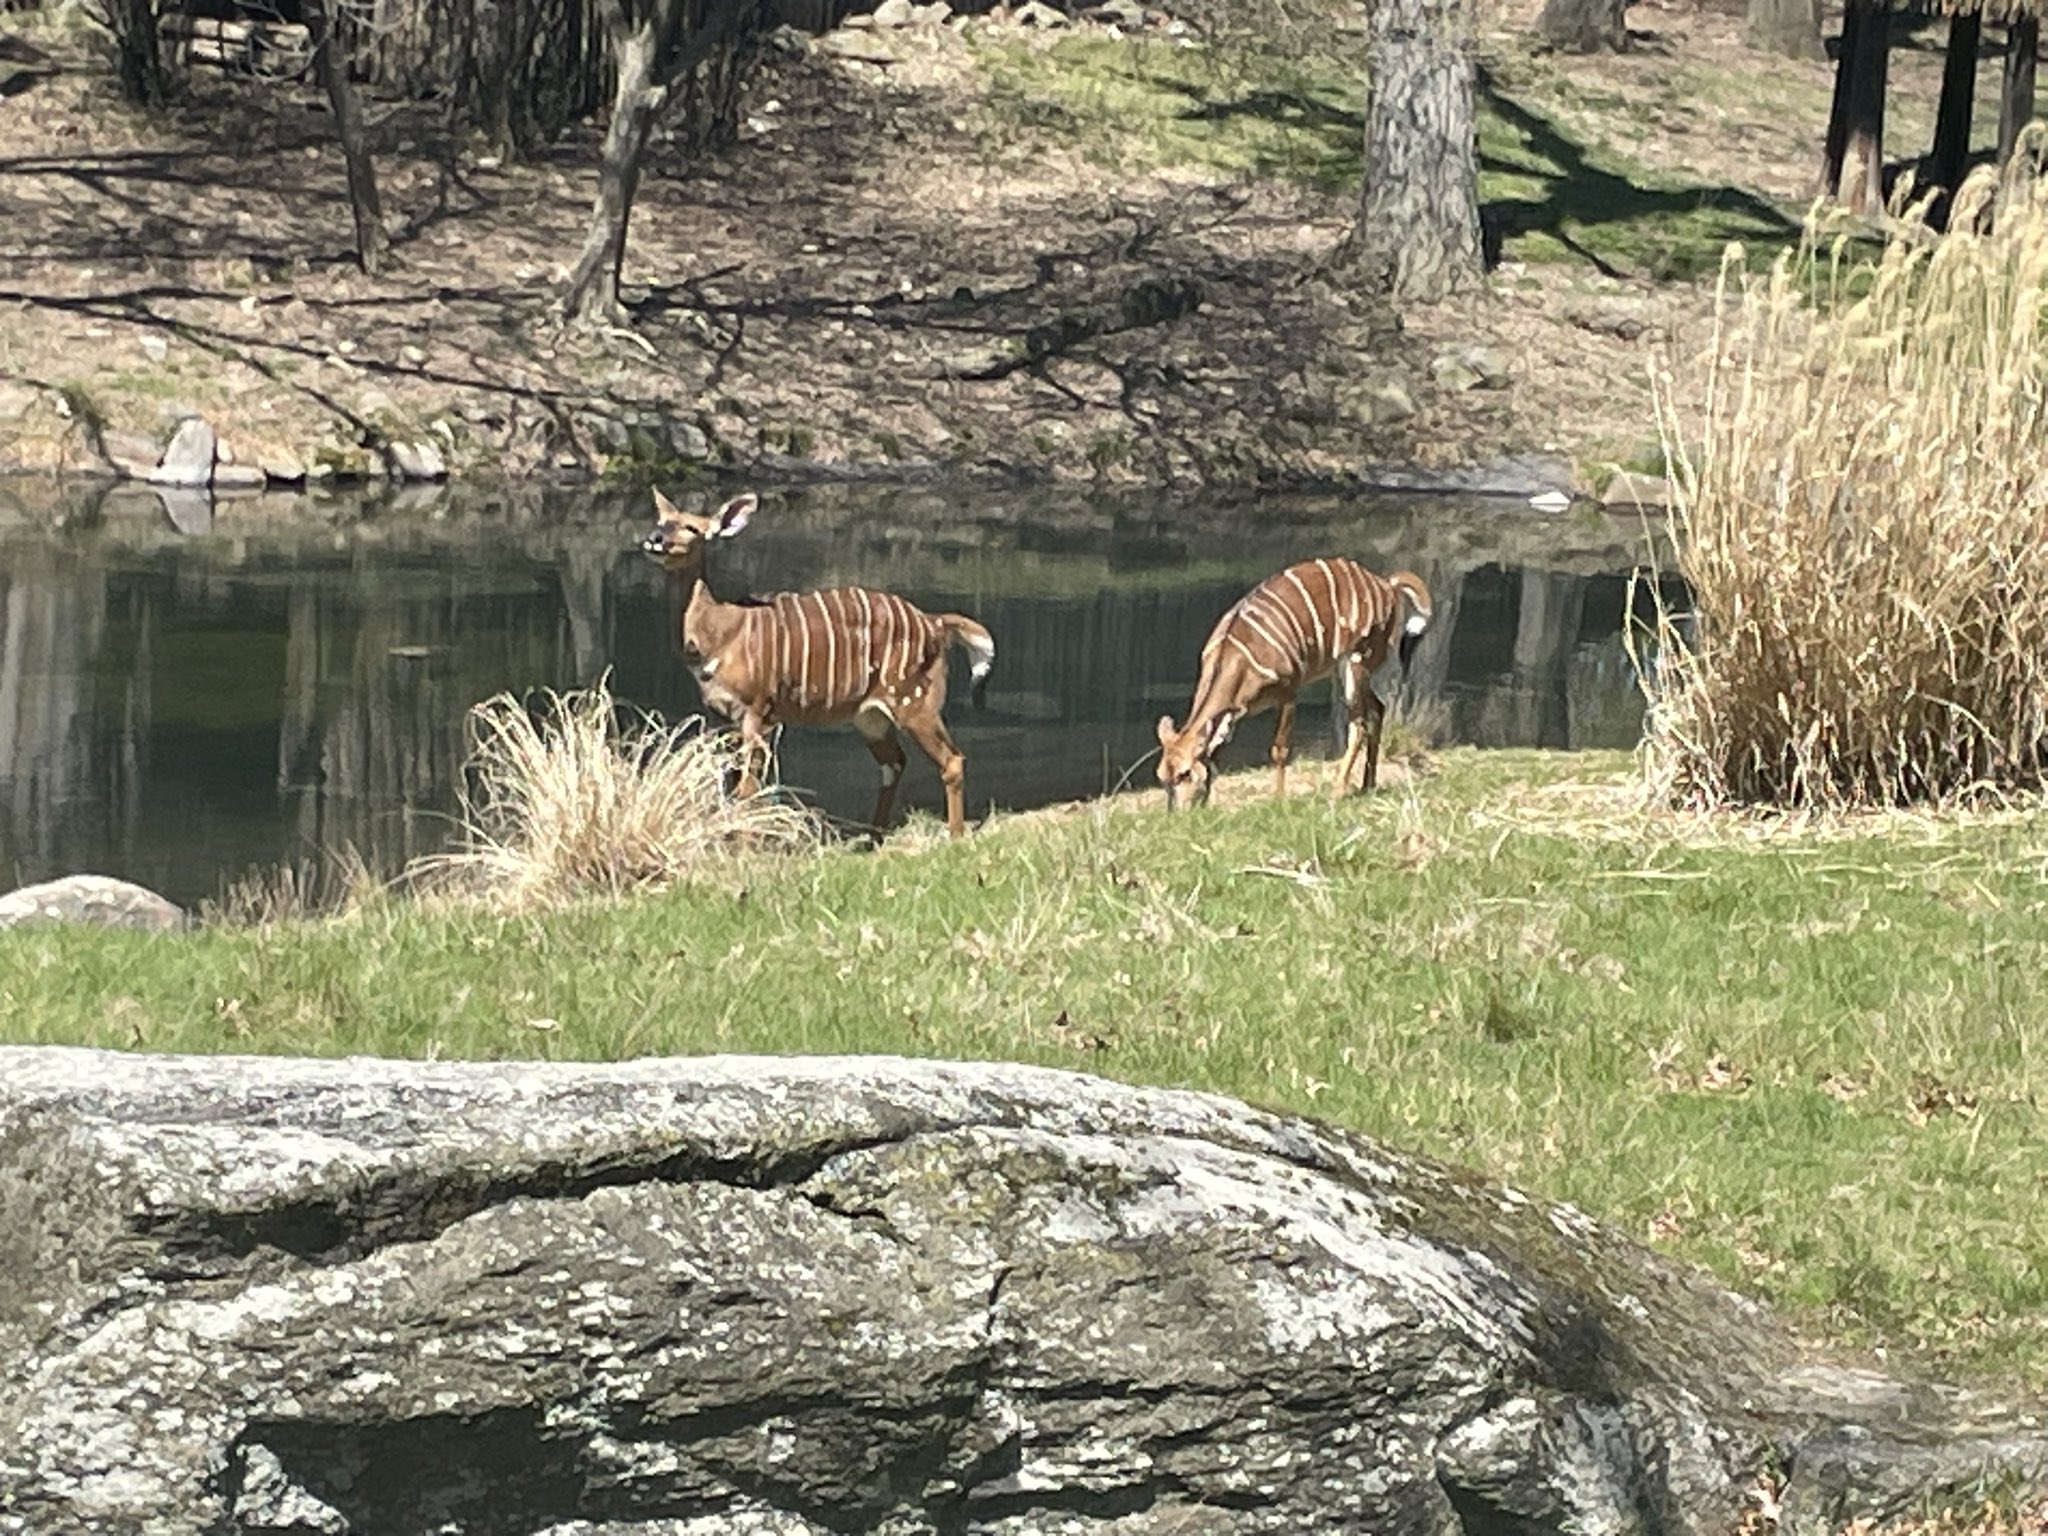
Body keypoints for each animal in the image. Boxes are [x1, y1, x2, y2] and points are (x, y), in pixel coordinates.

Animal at [640, 489, 996, 840]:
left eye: (693, 528)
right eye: (661, 520)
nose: (655, 539)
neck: (718, 634)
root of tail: (935, 623)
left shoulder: (757, 712)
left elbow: (748, 790)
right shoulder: (721, 716)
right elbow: (730, 782)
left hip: (915, 702)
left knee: (951, 760)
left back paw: (955, 836)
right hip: (870, 717)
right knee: (893, 763)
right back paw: (872, 837)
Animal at [1156, 558, 1431, 809]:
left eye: (1184, 774)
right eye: (1162, 777)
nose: (1177, 814)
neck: (1235, 657)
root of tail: (1386, 584)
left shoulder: (1289, 691)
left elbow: (1280, 749)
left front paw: (1278, 801)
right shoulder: (1231, 713)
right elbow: (1215, 750)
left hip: (1356, 661)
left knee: (1359, 723)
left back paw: (1338, 792)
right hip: (1347, 670)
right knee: (1378, 708)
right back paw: (1368, 785)